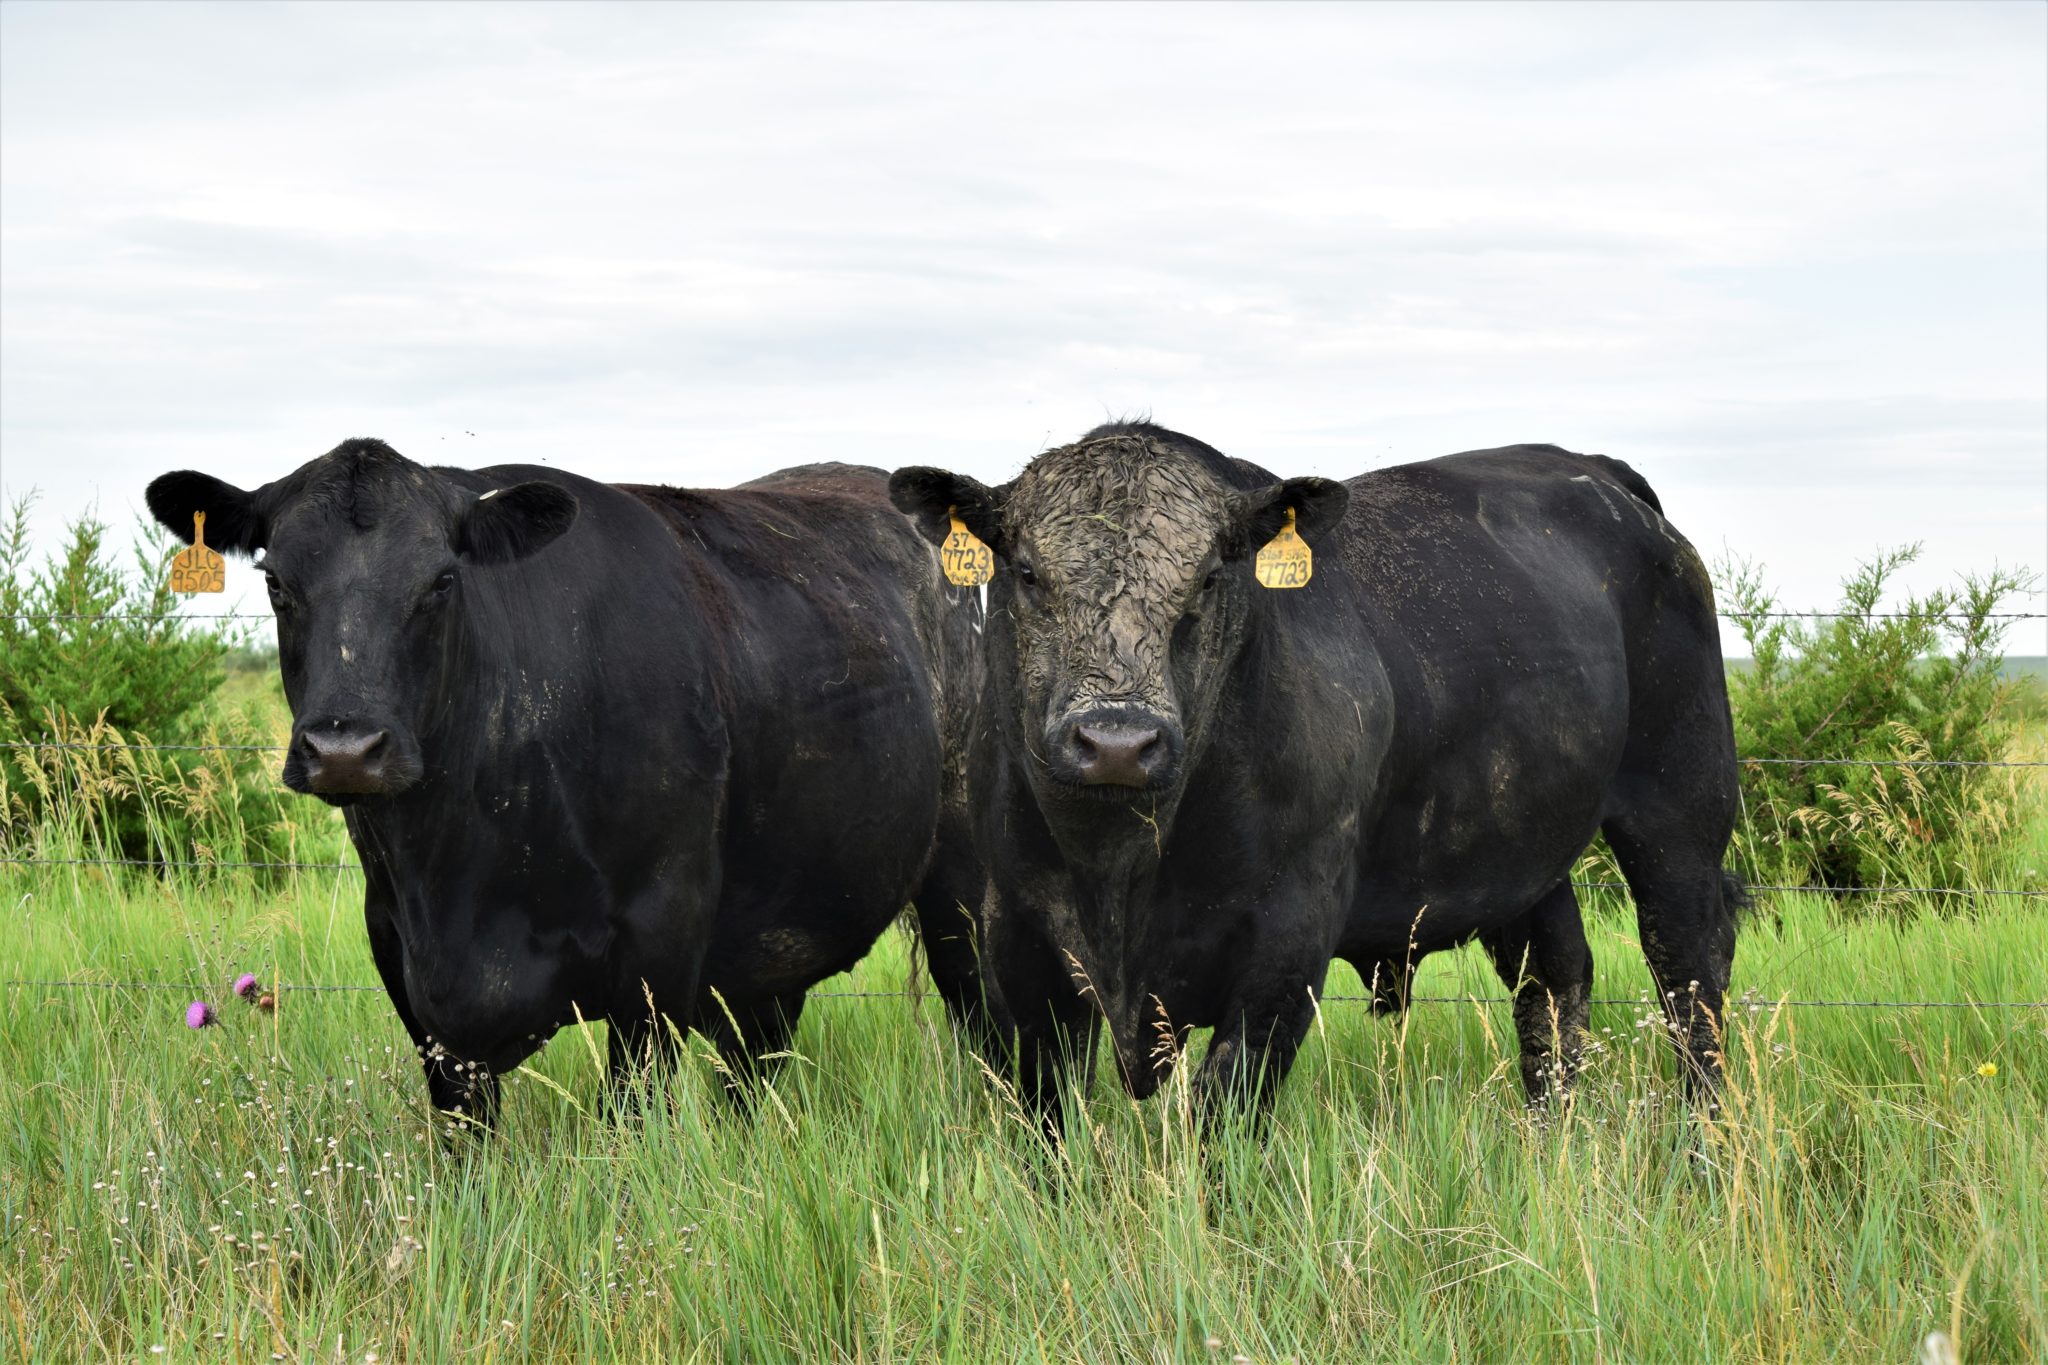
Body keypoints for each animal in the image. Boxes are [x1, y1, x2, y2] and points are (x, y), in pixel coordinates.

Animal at [147, 439, 986, 1130]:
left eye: (441, 581)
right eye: (276, 583)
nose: (346, 749)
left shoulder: (663, 935)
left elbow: (633, 1121)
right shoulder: (399, 949)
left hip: (968, 883)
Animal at [890, 421, 1743, 1138]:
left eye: (1209, 576)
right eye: (1029, 572)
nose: (1117, 741)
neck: (1121, 870)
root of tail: (1599, 473)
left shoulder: (1285, 945)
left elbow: (1224, 1122)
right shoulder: (1018, 939)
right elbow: (1048, 1126)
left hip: (1680, 808)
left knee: (1688, 970)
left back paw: (1699, 1147)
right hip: (1524, 846)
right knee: (1555, 978)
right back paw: (1549, 1140)